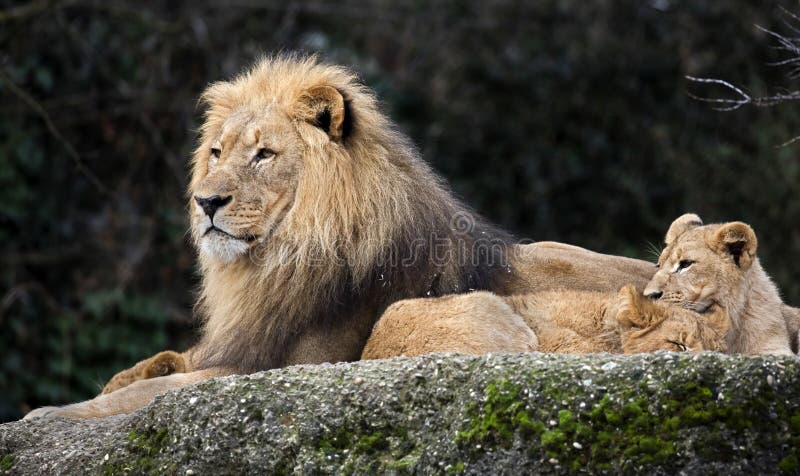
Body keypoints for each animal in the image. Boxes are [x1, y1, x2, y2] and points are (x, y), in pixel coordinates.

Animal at [24, 55, 656, 420]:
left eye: (263, 154)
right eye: (216, 153)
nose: (206, 202)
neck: (273, 262)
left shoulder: (278, 364)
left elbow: (160, 391)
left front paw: (47, 414)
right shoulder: (242, 341)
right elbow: (152, 369)